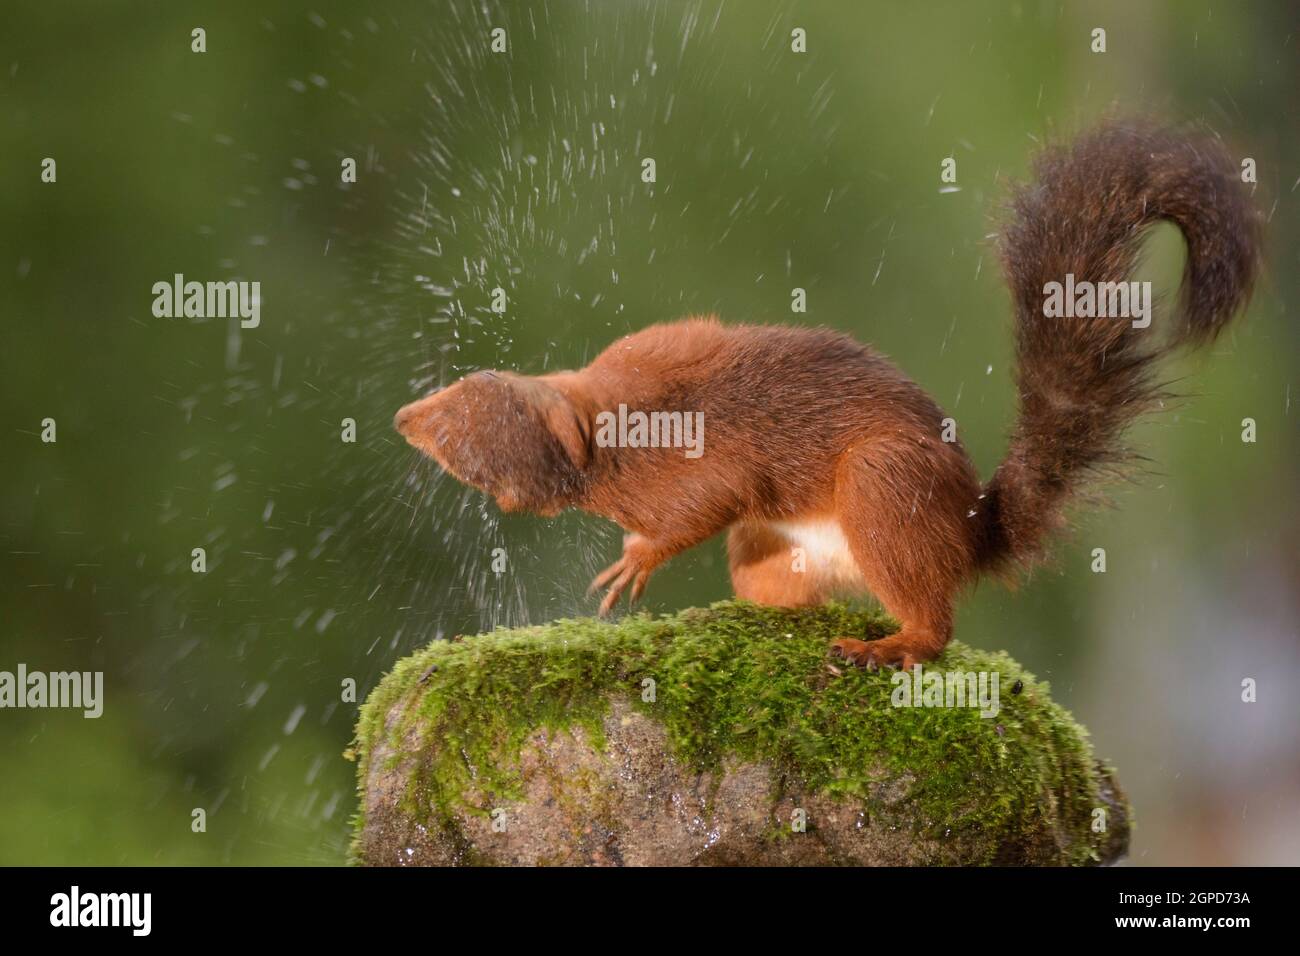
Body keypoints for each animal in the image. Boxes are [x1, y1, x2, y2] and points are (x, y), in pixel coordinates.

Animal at [394, 120, 1261, 669]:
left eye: (468, 435)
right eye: (468, 386)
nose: (405, 418)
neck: (596, 418)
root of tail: (970, 531)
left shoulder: (680, 461)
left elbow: (700, 501)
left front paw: (632, 564)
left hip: (884, 490)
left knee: (933, 622)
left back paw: (893, 645)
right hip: (770, 549)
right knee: (787, 592)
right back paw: (763, 614)